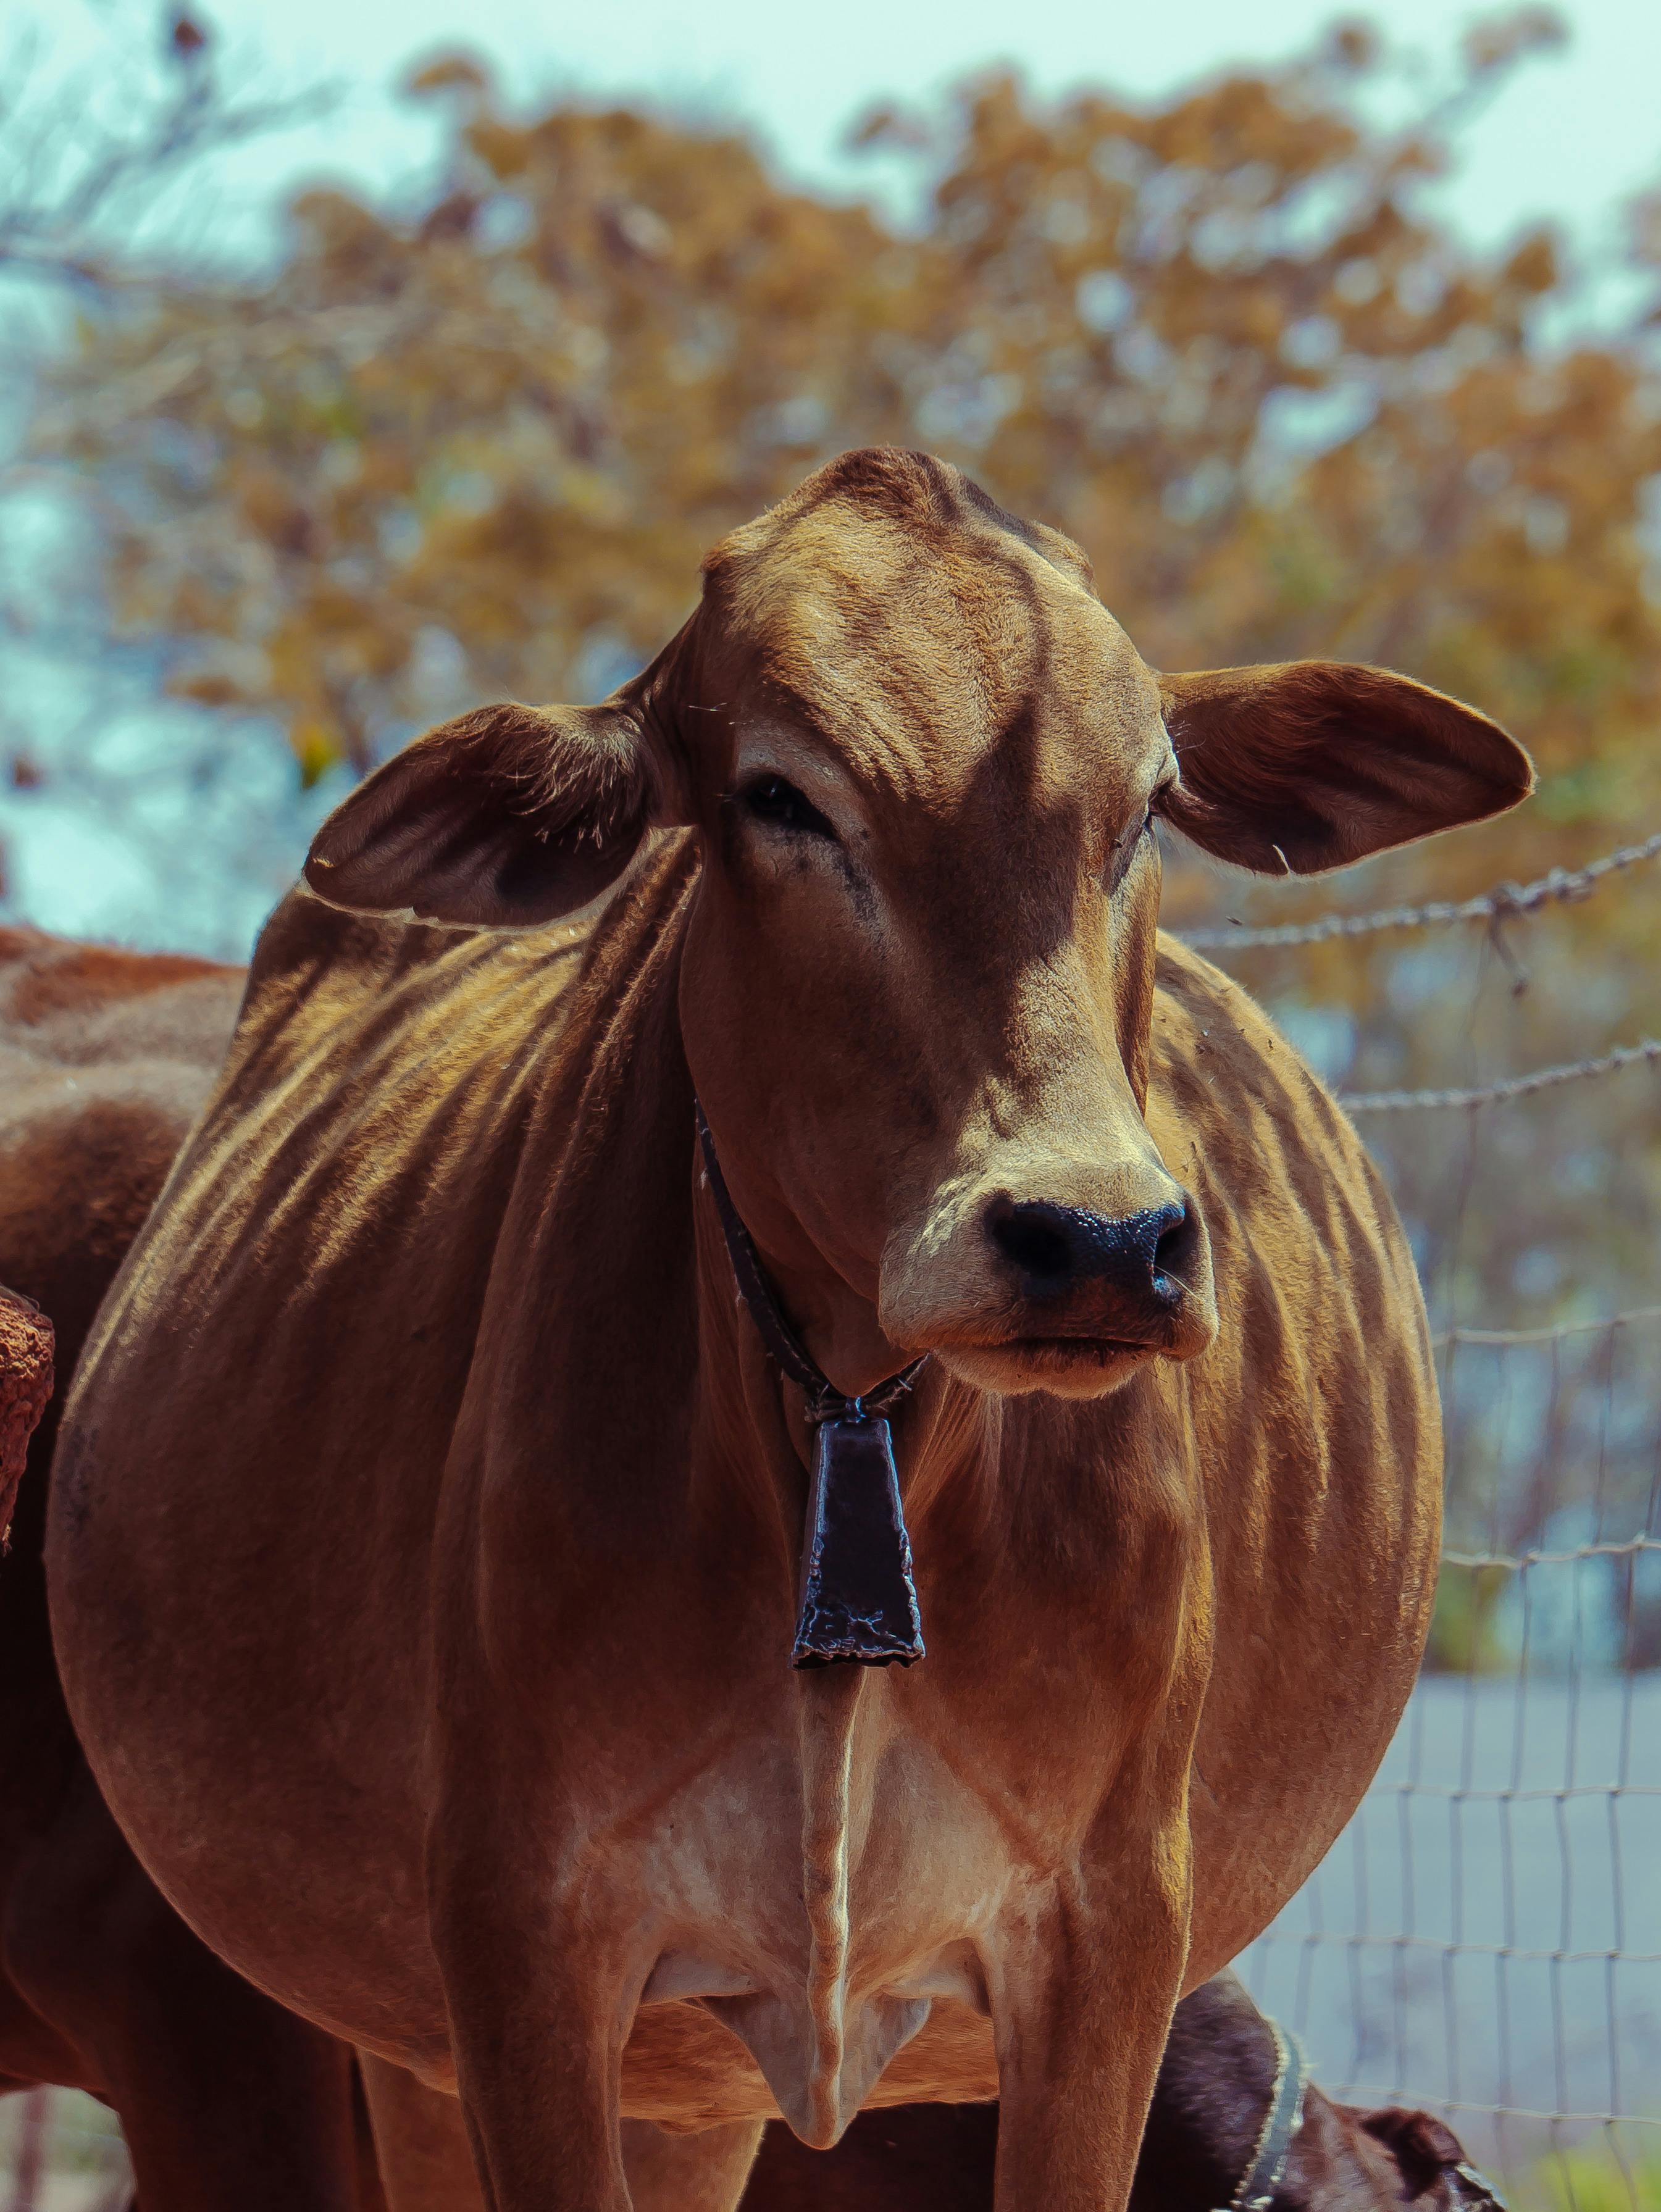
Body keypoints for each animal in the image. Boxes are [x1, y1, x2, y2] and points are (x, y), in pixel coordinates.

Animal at [48, 448, 1532, 2212]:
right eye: (780, 796)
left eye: (1147, 809)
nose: (1099, 1239)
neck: (844, 1426)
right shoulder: (520, 1950)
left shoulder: (1105, 1940)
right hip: (398, 2049)